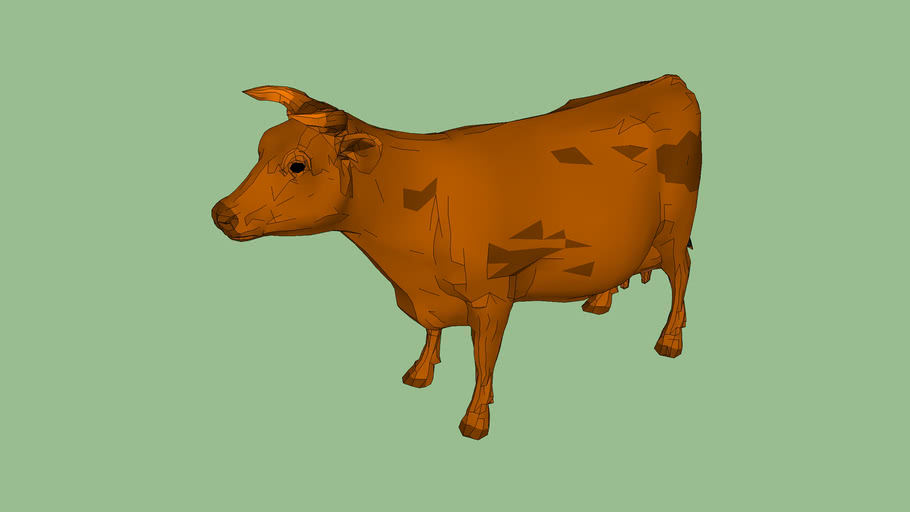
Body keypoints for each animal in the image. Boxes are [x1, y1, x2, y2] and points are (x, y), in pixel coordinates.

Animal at [211, 74, 702, 440]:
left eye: (297, 165)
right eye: (260, 149)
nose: (222, 213)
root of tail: (667, 81)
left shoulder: (492, 296)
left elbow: (484, 358)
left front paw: (476, 418)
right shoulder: (428, 292)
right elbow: (431, 330)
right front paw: (420, 371)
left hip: (677, 226)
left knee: (681, 273)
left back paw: (670, 339)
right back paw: (599, 299)